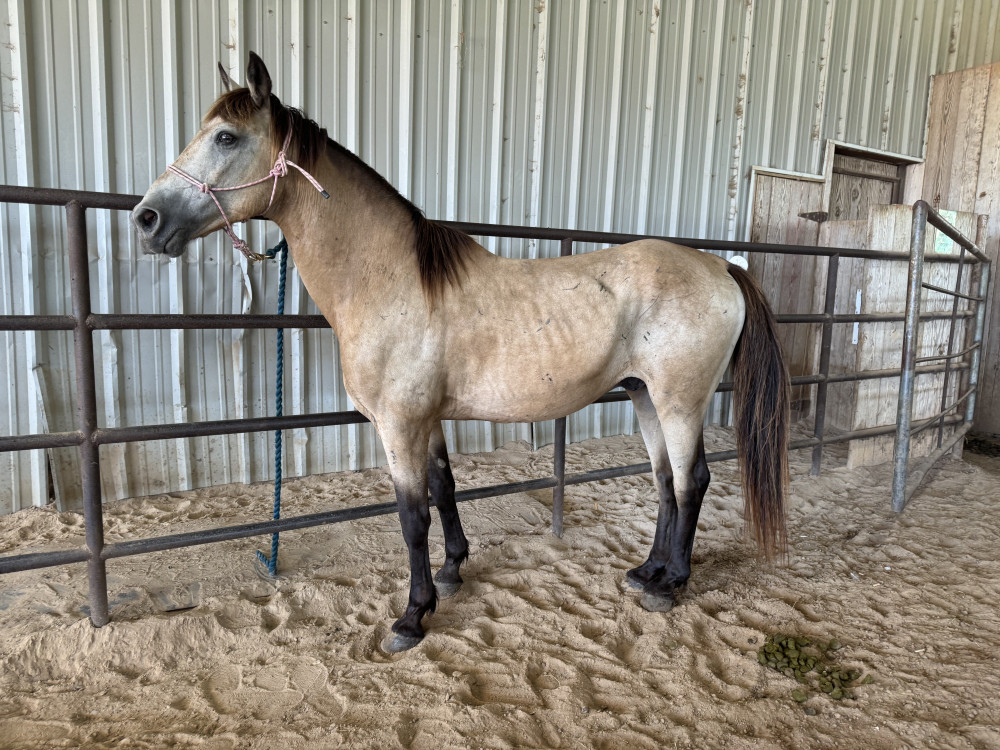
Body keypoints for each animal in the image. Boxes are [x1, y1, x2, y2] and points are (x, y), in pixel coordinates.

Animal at [132, 53, 789, 654]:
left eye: (225, 136)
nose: (146, 219)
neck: (392, 280)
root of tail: (721, 268)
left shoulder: (399, 424)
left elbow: (411, 517)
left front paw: (411, 617)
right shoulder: (429, 420)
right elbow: (445, 490)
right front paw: (452, 572)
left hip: (680, 401)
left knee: (692, 480)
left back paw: (669, 585)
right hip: (644, 395)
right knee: (663, 480)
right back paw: (645, 570)